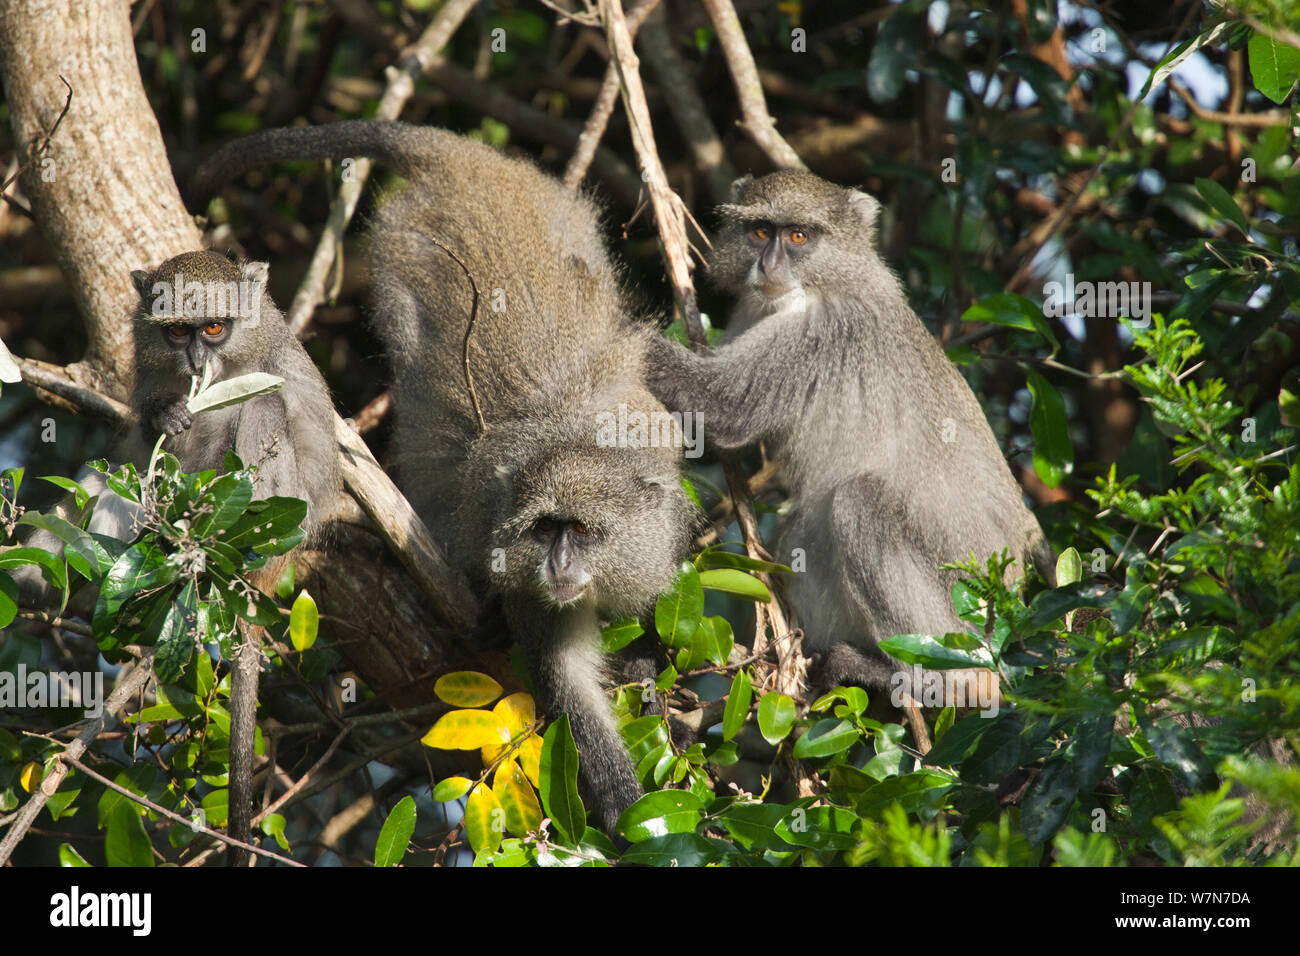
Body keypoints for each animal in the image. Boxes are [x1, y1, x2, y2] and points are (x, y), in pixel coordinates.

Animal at [131, 250, 341, 865]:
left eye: (214, 329)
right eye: (178, 332)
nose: (198, 362)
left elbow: (277, 408)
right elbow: (151, 427)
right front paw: (166, 413)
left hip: (280, 531)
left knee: (264, 408)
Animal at [190, 121, 695, 841]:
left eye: (579, 530)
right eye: (546, 531)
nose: (557, 564)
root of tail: (467, 165)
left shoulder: (660, 529)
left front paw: (650, 671)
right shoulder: (531, 585)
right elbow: (570, 690)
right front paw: (629, 817)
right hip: (404, 256)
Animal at [644, 170, 1056, 731]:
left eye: (799, 236)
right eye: (759, 232)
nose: (768, 266)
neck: (825, 284)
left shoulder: (820, 335)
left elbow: (719, 406)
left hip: (965, 608)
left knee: (858, 503)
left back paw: (952, 681)